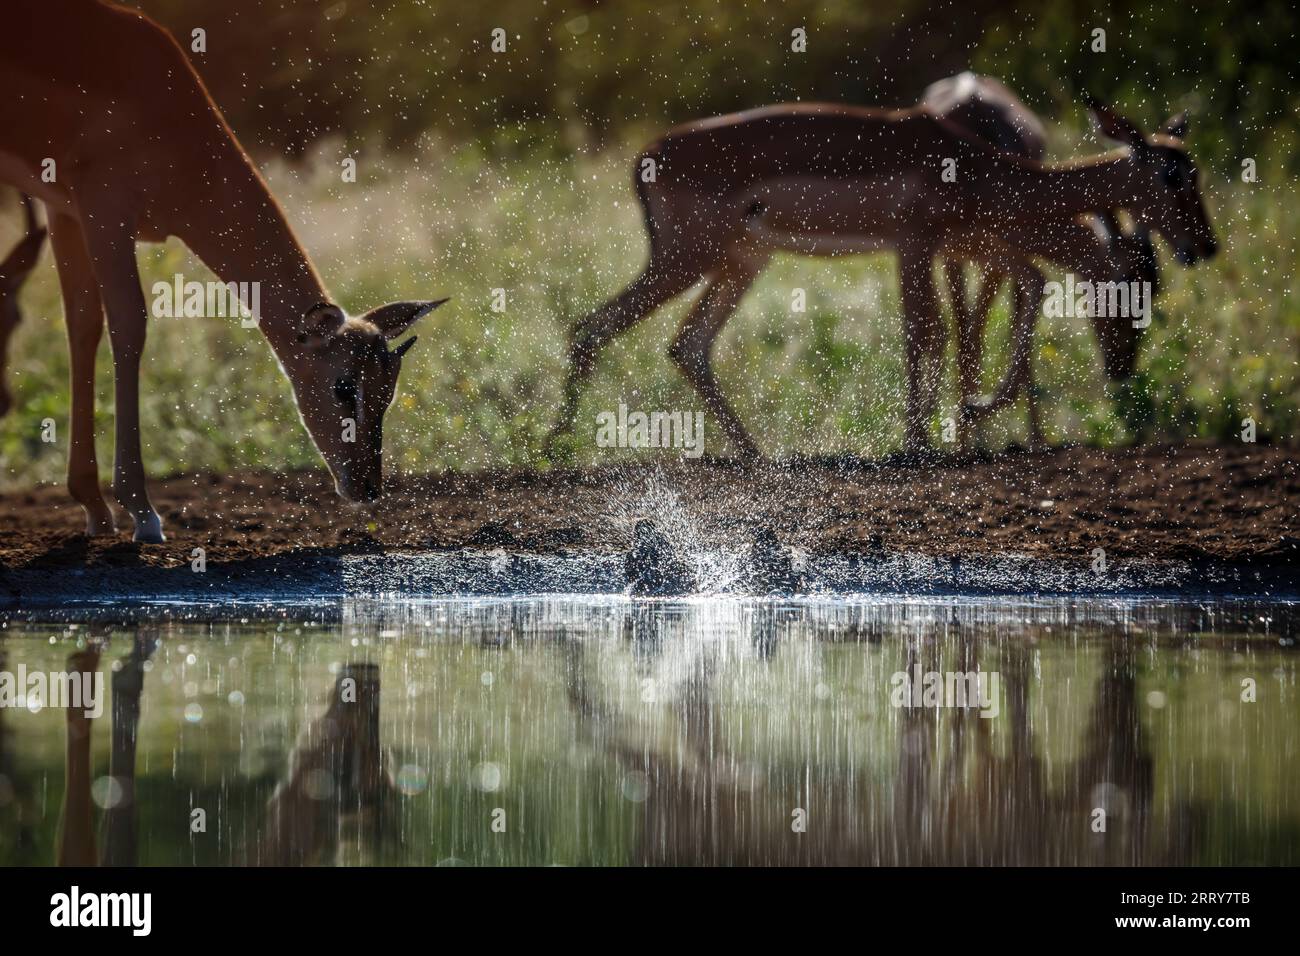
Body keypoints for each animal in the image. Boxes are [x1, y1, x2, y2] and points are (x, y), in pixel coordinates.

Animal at [0, 0, 446, 543]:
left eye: (389, 387)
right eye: (344, 386)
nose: (367, 486)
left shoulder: (64, 208)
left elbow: (82, 327)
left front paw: (94, 505)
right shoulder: (105, 208)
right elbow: (129, 325)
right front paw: (143, 514)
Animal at [545, 93, 1215, 458]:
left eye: (1195, 170)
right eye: (1171, 175)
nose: (1203, 246)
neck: (980, 166)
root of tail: (645, 156)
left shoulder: (945, 246)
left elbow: (983, 308)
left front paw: (957, 422)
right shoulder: (920, 244)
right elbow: (927, 332)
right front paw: (922, 441)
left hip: (740, 262)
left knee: (686, 345)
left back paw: (759, 455)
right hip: (686, 259)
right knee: (592, 327)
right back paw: (553, 455)